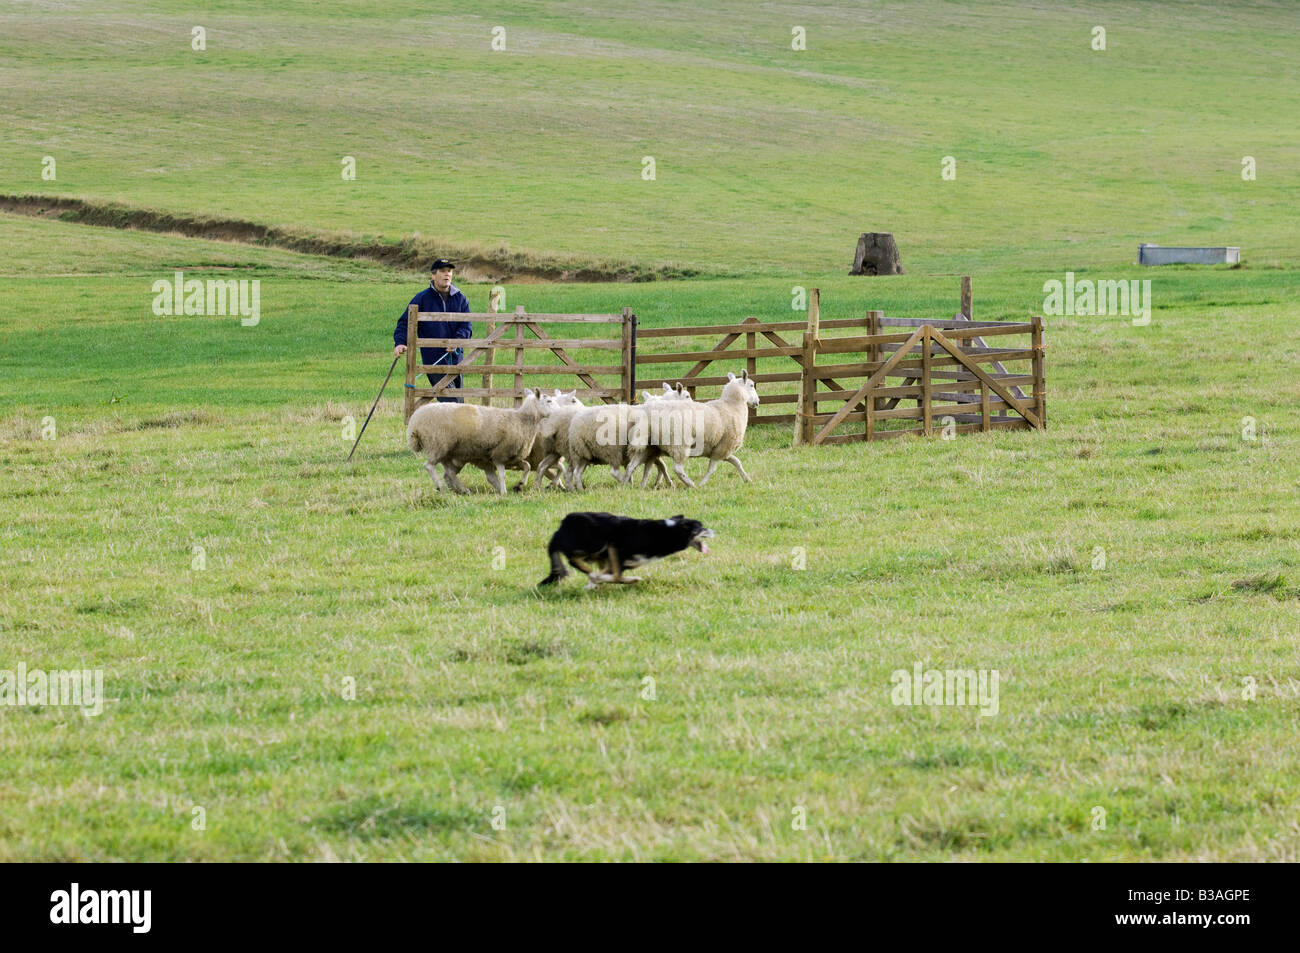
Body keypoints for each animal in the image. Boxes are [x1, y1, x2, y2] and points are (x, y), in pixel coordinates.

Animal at [407, 387, 551, 494]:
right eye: (549, 401)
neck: (522, 420)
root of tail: (414, 423)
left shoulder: (512, 456)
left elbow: (527, 466)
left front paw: (520, 485)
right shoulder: (500, 454)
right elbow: (502, 474)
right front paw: (504, 492)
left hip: (447, 452)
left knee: (449, 473)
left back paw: (462, 489)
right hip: (437, 445)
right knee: (429, 466)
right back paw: (441, 487)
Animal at [630, 370, 759, 488]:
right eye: (751, 385)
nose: (757, 402)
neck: (732, 405)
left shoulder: (720, 449)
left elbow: (737, 462)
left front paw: (747, 480)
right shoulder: (723, 447)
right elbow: (712, 469)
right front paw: (702, 484)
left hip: (651, 447)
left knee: (635, 464)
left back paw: (631, 484)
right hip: (678, 444)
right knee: (677, 469)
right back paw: (691, 485)